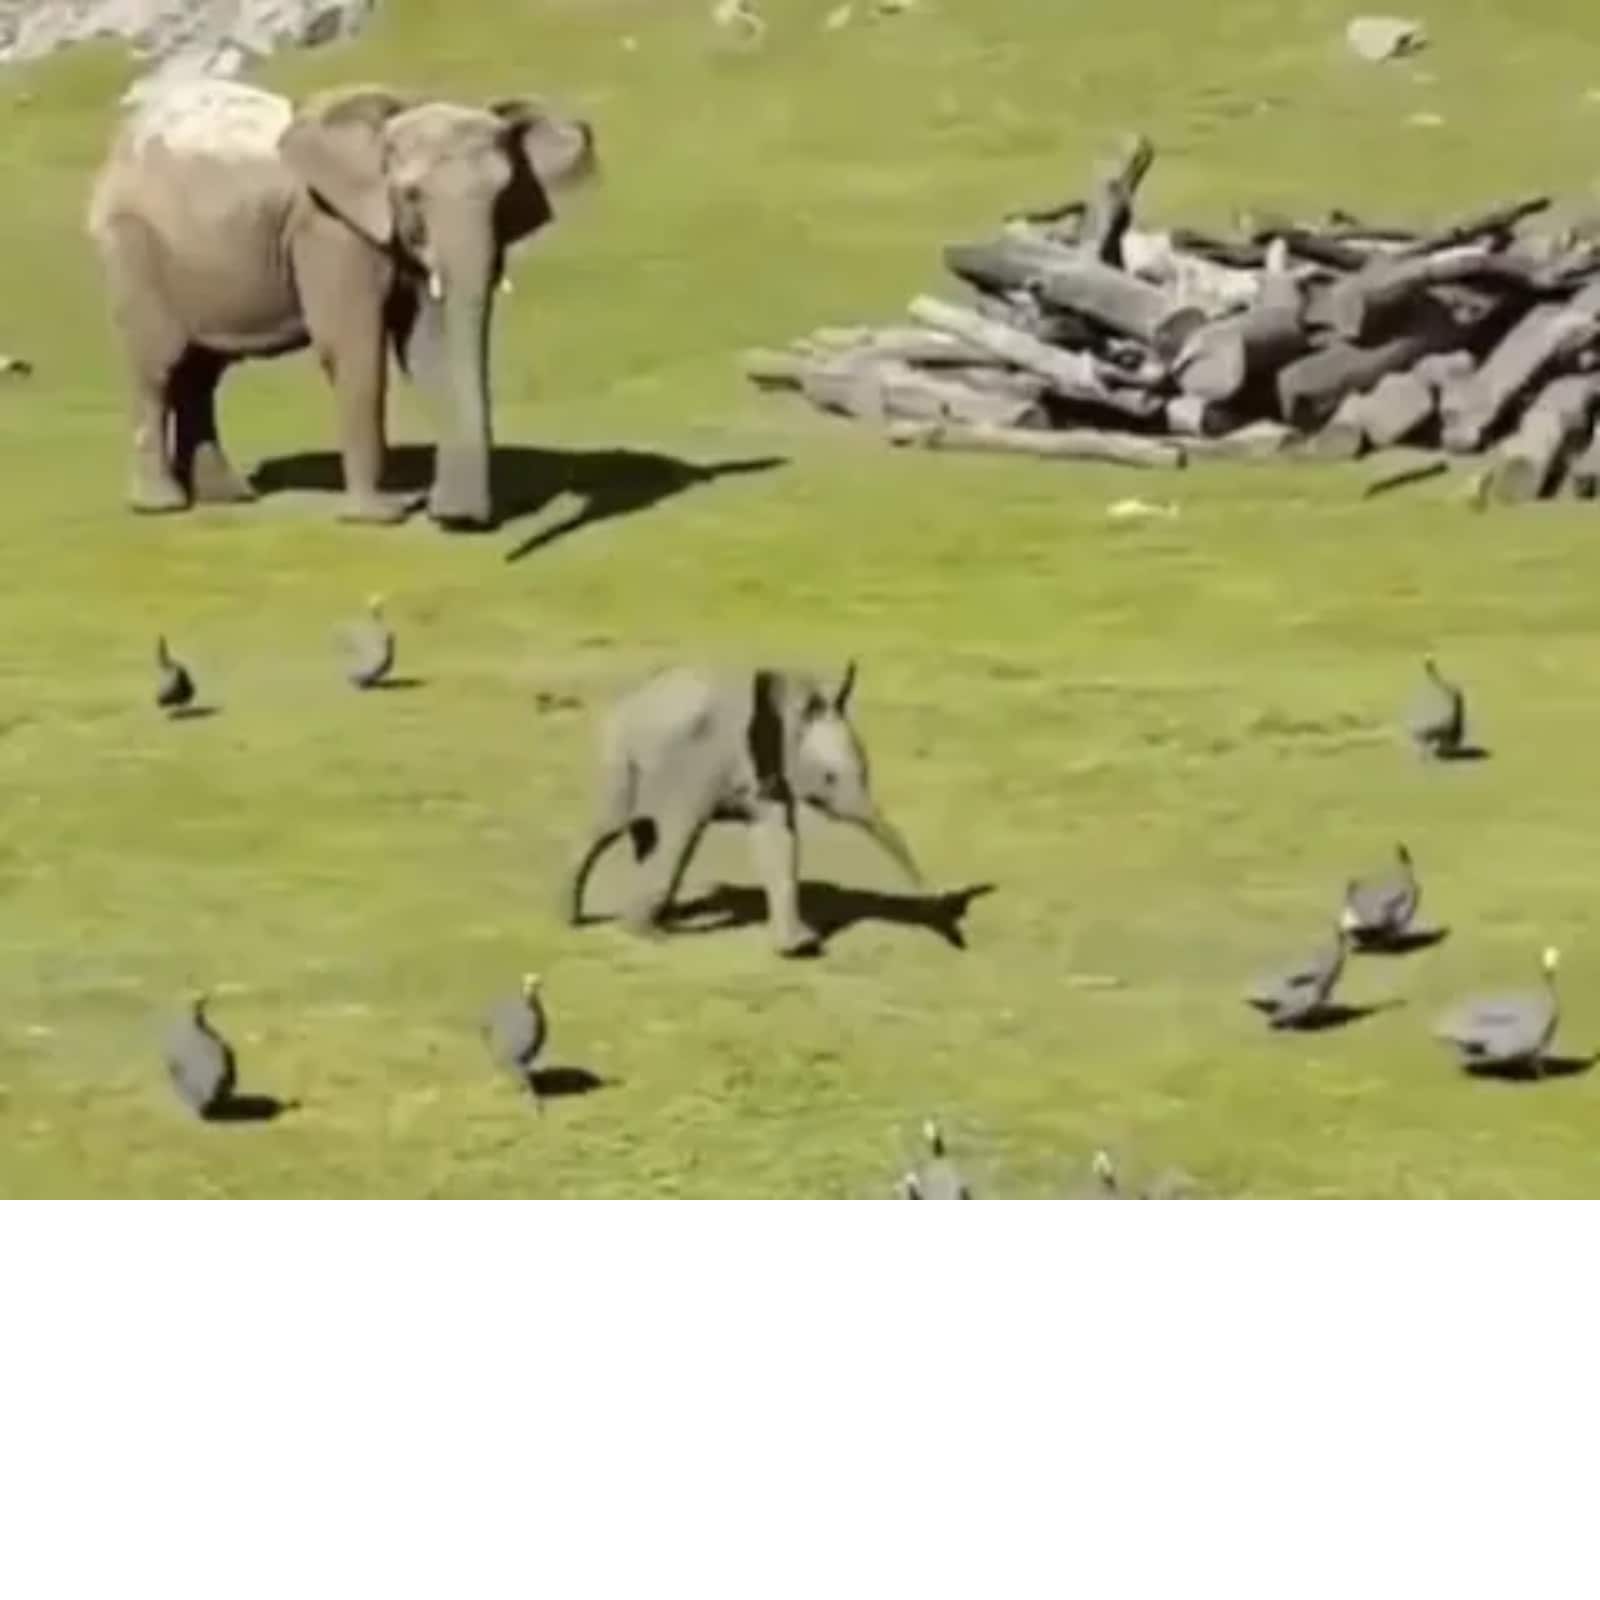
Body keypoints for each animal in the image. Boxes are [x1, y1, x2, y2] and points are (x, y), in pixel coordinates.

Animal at [86, 77, 595, 529]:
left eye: (504, 195)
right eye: (411, 195)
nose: (463, 518)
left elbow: (427, 349)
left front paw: (451, 517)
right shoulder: (329, 228)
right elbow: (356, 349)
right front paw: (379, 518)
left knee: (201, 372)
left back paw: (228, 497)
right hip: (132, 242)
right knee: (158, 367)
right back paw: (161, 506)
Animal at [567, 662, 923, 956]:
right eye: (829, 778)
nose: (922, 887)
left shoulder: (770, 770)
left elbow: (778, 840)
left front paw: (799, 948)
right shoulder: (702, 760)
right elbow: (683, 834)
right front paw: (644, 936)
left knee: (642, 831)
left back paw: (660, 915)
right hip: (618, 757)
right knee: (611, 827)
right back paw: (577, 921)